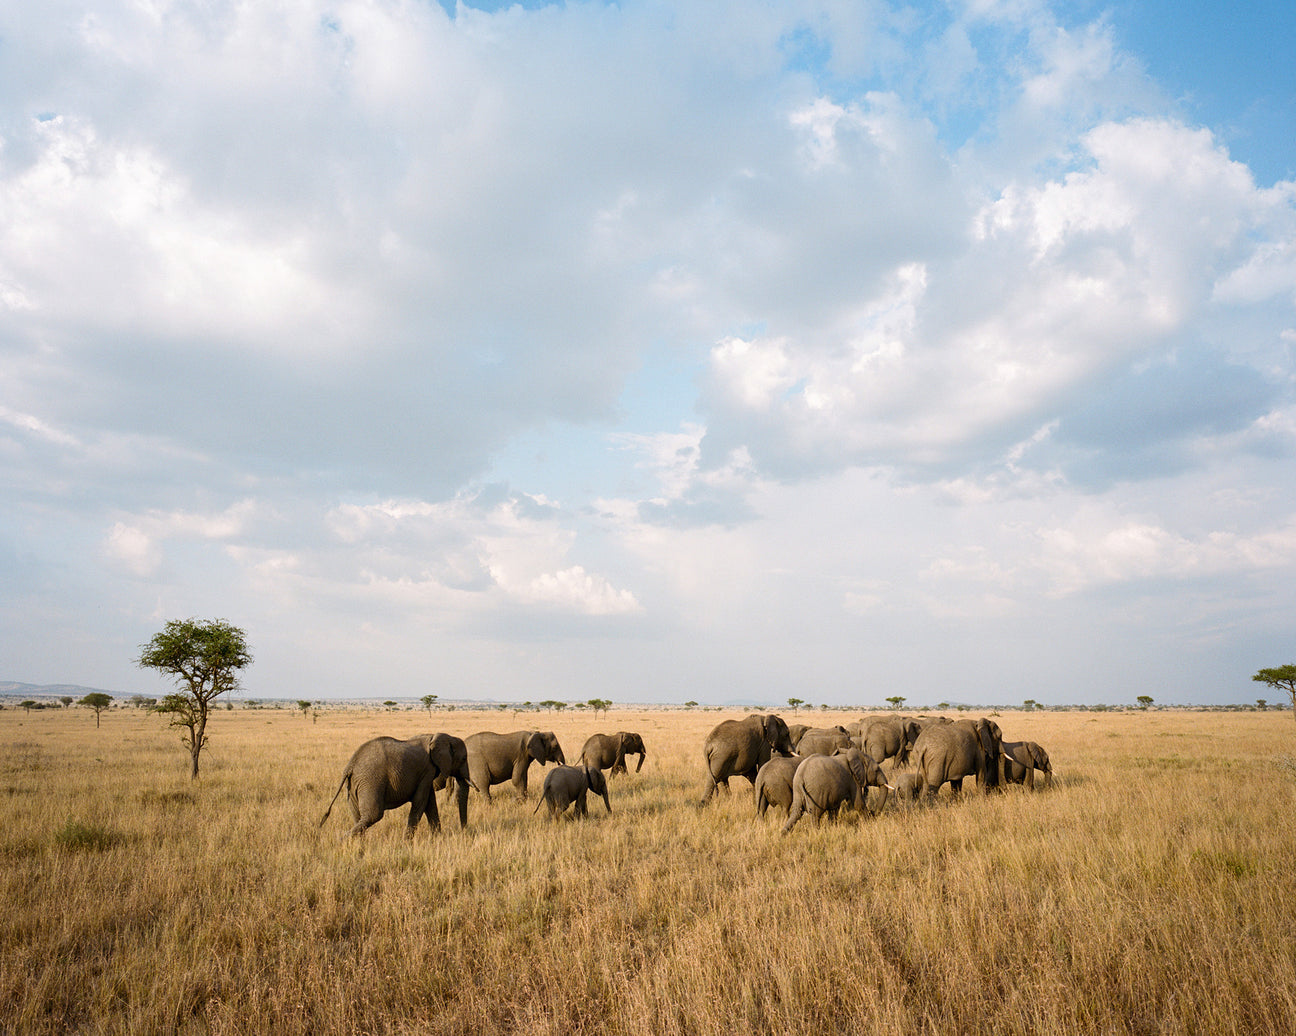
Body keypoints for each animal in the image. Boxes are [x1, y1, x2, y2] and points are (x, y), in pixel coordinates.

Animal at [319, 732, 473, 839]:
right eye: (464, 758)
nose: (464, 831)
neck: (439, 736)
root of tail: (350, 766)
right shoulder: (427, 770)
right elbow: (421, 802)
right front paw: (407, 842)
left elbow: (430, 803)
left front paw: (437, 839)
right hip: (370, 781)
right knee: (373, 815)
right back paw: (340, 841)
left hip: (354, 785)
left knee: (358, 816)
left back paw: (358, 846)